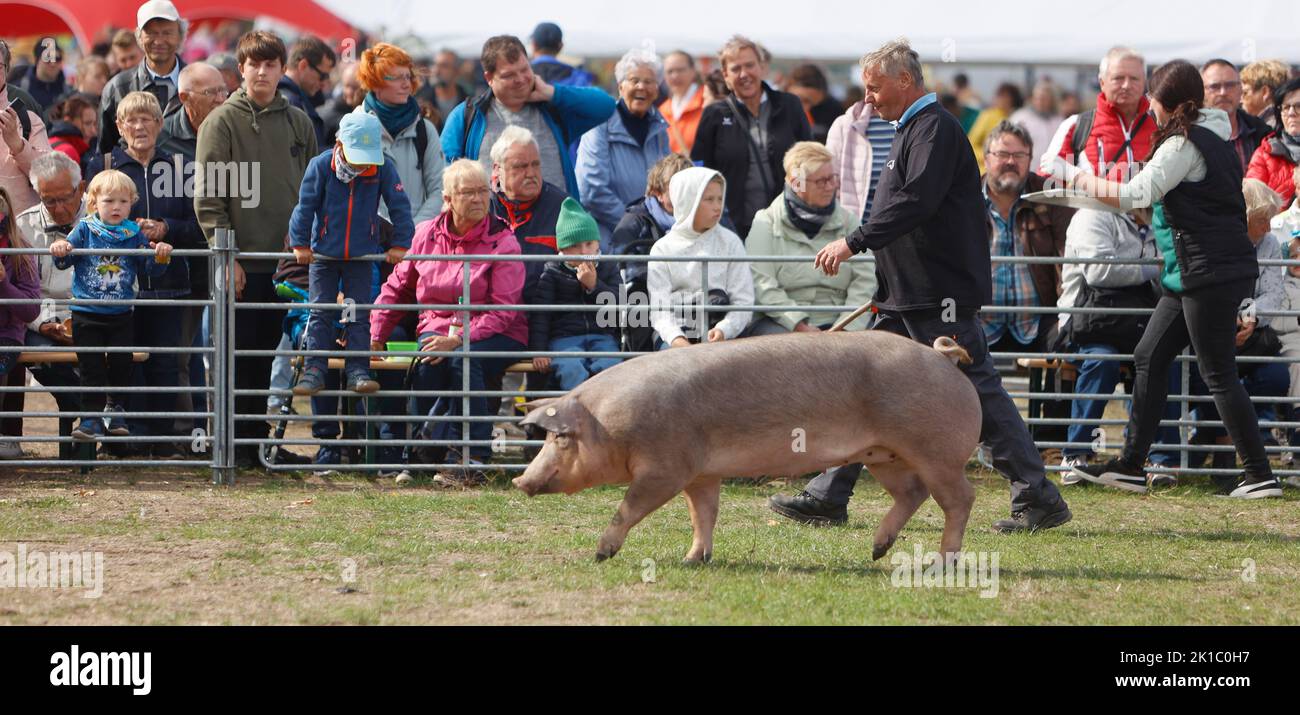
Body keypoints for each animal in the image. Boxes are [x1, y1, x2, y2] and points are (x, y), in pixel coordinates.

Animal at [513, 330, 982, 565]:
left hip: (937, 452)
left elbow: (629, 507)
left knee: (960, 498)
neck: (612, 424)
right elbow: (704, 514)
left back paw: (941, 562)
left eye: (560, 437)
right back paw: (876, 552)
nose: (520, 481)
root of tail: (942, 357)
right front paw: (694, 559)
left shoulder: (667, 467)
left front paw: (600, 554)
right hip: (884, 455)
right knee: (912, 493)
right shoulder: (701, 472)